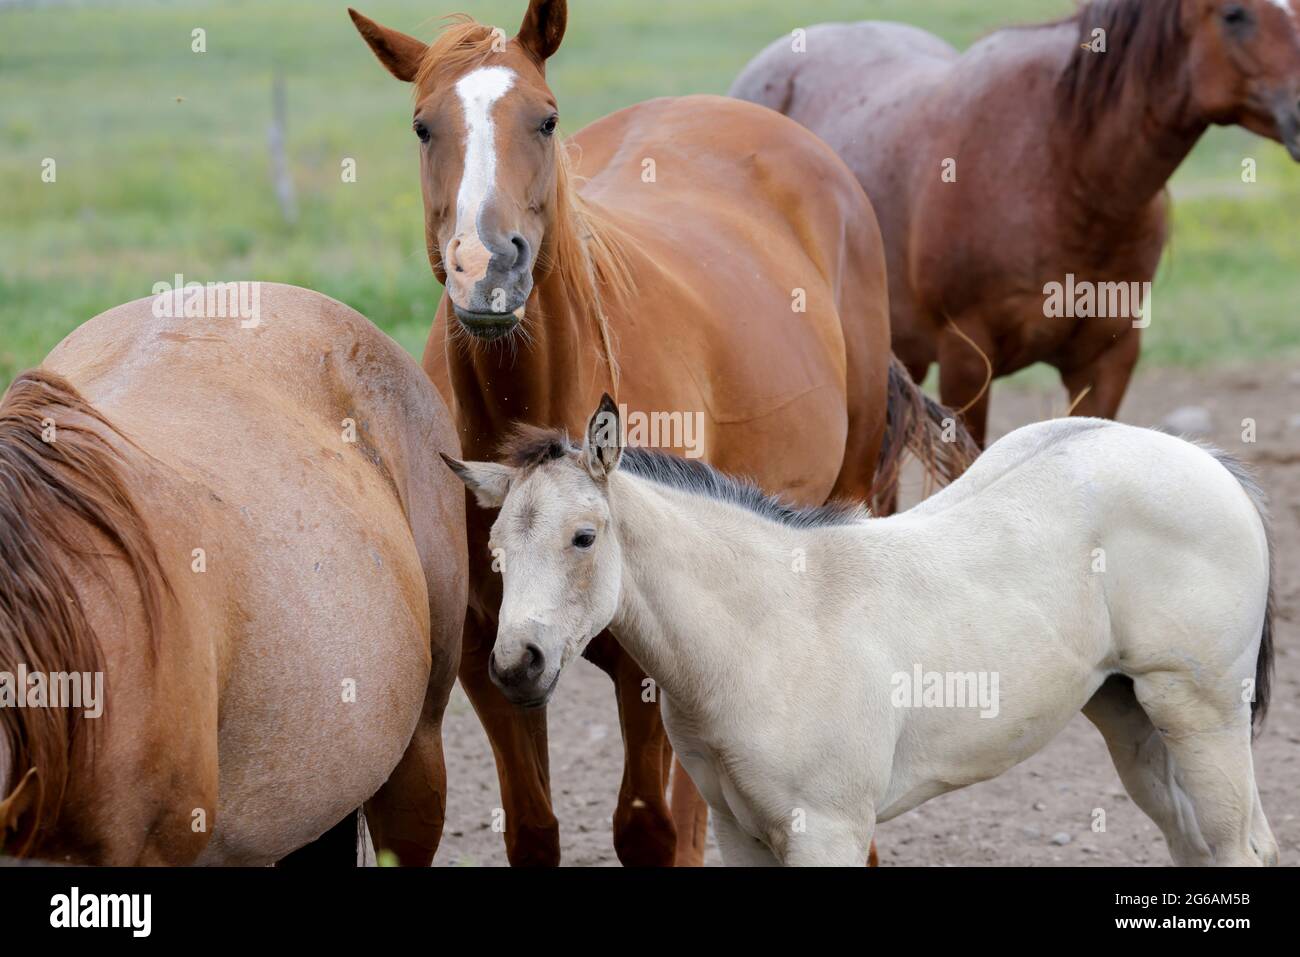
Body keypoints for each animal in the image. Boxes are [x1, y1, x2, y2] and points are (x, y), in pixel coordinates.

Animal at [350, 0, 976, 866]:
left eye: (546, 118)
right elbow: (534, 827)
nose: (487, 266)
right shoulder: (490, 654)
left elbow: (652, 827)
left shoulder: (650, 664)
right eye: (422, 126)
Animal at [447, 396, 1278, 867]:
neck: (767, 631)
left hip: (1201, 715)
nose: (518, 663)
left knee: (1239, 848)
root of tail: (1207, 461)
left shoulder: (829, 832)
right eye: (495, 552)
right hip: (1127, 712)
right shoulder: (740, 833)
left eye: (583, 537)